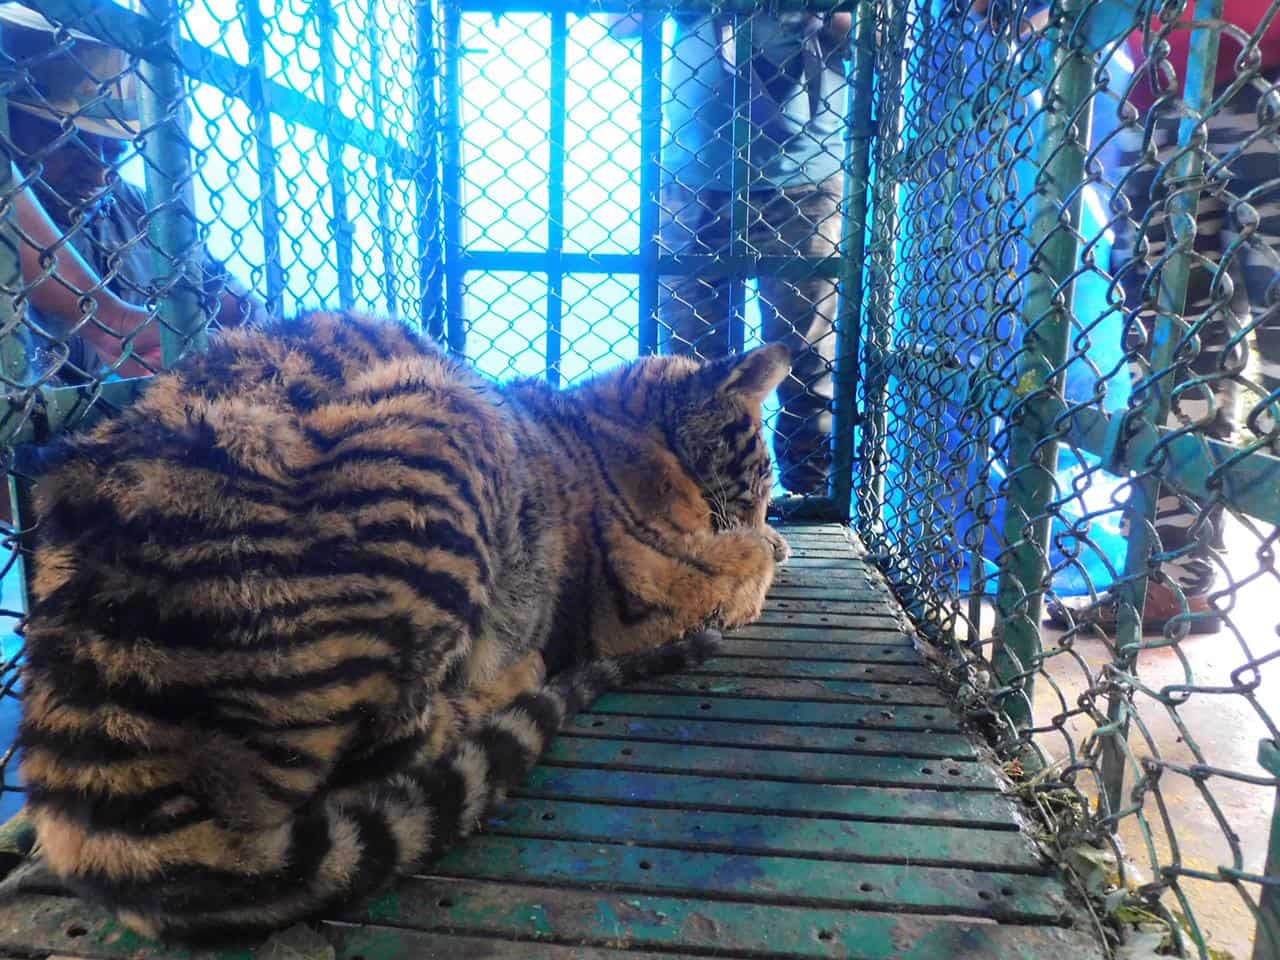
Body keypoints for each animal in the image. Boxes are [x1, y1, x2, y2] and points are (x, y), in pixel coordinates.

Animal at [4, 311, 792, 943]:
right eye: (760, 476)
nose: (770, 518)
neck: (623, 436)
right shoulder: (646, 587)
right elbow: (744, 567)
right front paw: (768, 549)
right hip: (438, 424)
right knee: (401, 740)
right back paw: (521, 672)